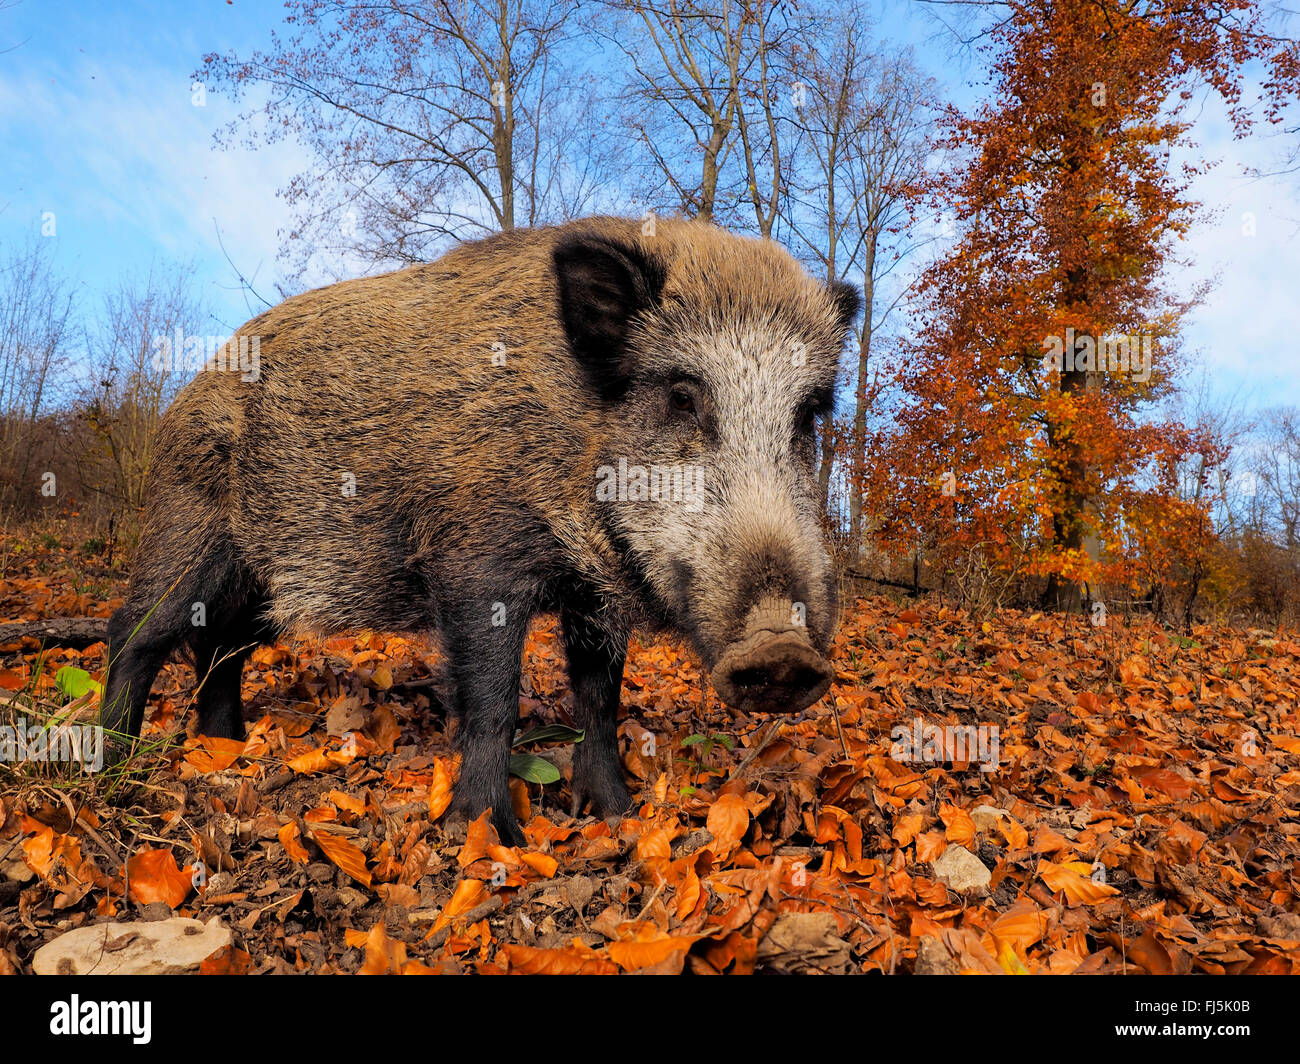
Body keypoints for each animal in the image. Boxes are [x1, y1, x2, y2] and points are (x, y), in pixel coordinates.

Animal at [100, 216, 860, 845]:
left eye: (808, 415)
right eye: (681, 398)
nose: (782, 650)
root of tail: (182, 398)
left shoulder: (592, 597)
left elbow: (599, 698)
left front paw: (613, 815)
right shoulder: (474, 559)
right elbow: (495, 698)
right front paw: (487, 834)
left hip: (266, 585)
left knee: (218, 645)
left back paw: (227, 748)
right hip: (187, 526)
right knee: (135, 631)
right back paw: (113, 768)